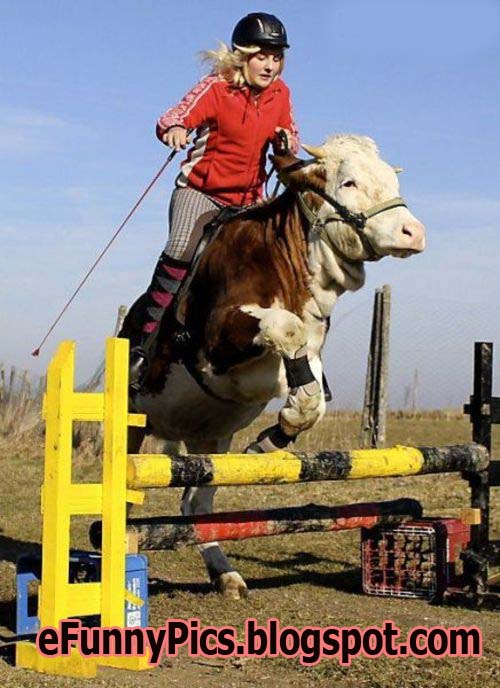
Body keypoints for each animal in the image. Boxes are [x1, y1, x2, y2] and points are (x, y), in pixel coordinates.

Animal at [123, 134, 426, 599]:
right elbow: (285, 327)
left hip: (210, 439)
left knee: (195, 503)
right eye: (349, 182)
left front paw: (271, 439)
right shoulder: (215, 347)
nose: (414, 233)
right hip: (133, 422)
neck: (285, 260)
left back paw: (224, 574)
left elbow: (311, 394)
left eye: (391, 178)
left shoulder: (290, 363)